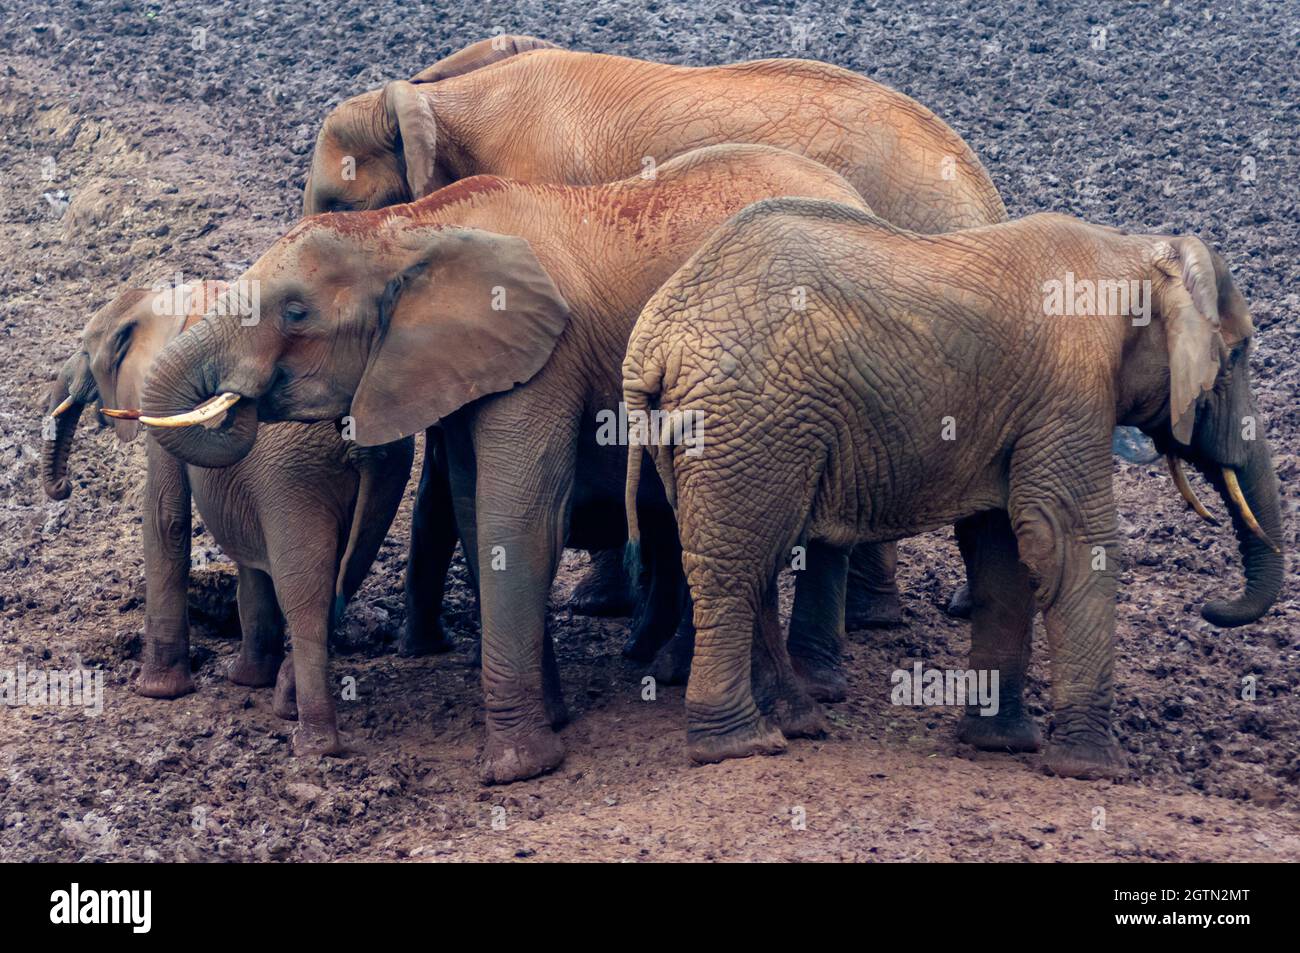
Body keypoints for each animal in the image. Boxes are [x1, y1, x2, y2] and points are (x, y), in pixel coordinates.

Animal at [40, 281, 414, 755]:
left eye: (87, 350)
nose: (64, 488)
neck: (168, 299)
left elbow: (166, 520)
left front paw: (157, 691)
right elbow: (251, 564)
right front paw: (245, 681)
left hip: (294, 479)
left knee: (305, 593)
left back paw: (311, 737)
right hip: (383, 476)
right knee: (344, 574)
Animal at [129, 144, 874, 782]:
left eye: (295, 312)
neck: (410, 229)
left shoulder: (546, 357)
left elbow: (519, 519)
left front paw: (518, 767)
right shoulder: (465, 365)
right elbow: (473, 508)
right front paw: (555, 719)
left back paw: (805, 691)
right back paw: (679, 669)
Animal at [622, 199, 1284, 779]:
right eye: (1239, 354)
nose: (1213, 608)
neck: (1133, 250)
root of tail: (654, 338)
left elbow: (1006, 553)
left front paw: (1002, 745)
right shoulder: (1070, 391)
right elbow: (1066, 541)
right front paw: (1096, 771)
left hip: (715, 432)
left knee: (751, 559)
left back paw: (798, 724)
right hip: (751, 421)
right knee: (739, 565)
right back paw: (741, 747)